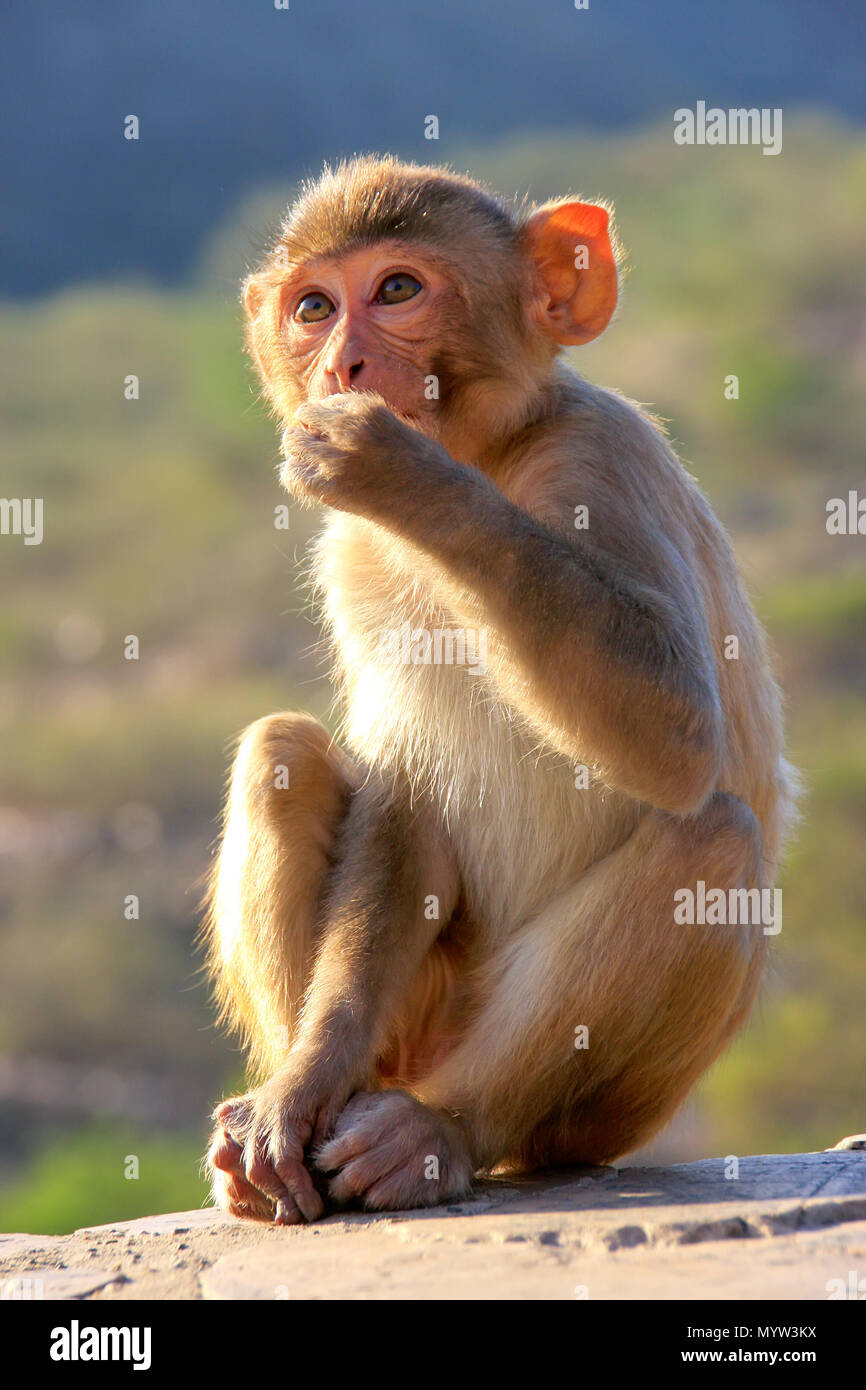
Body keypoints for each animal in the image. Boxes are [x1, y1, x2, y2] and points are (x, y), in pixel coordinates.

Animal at [202, 155, 798, 1224]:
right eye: (314, 308)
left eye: (398, 289)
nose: (343, 367)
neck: (494, 452)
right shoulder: (352, 560)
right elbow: (404, 801)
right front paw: (302, 1083)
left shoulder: (602, 459)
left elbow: (678, 731)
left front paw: (403, 474)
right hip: (417, 1020)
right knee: (280, 751)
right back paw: (299, 1125)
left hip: (620, 1107)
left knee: (714, 841)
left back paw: (436, 1134)